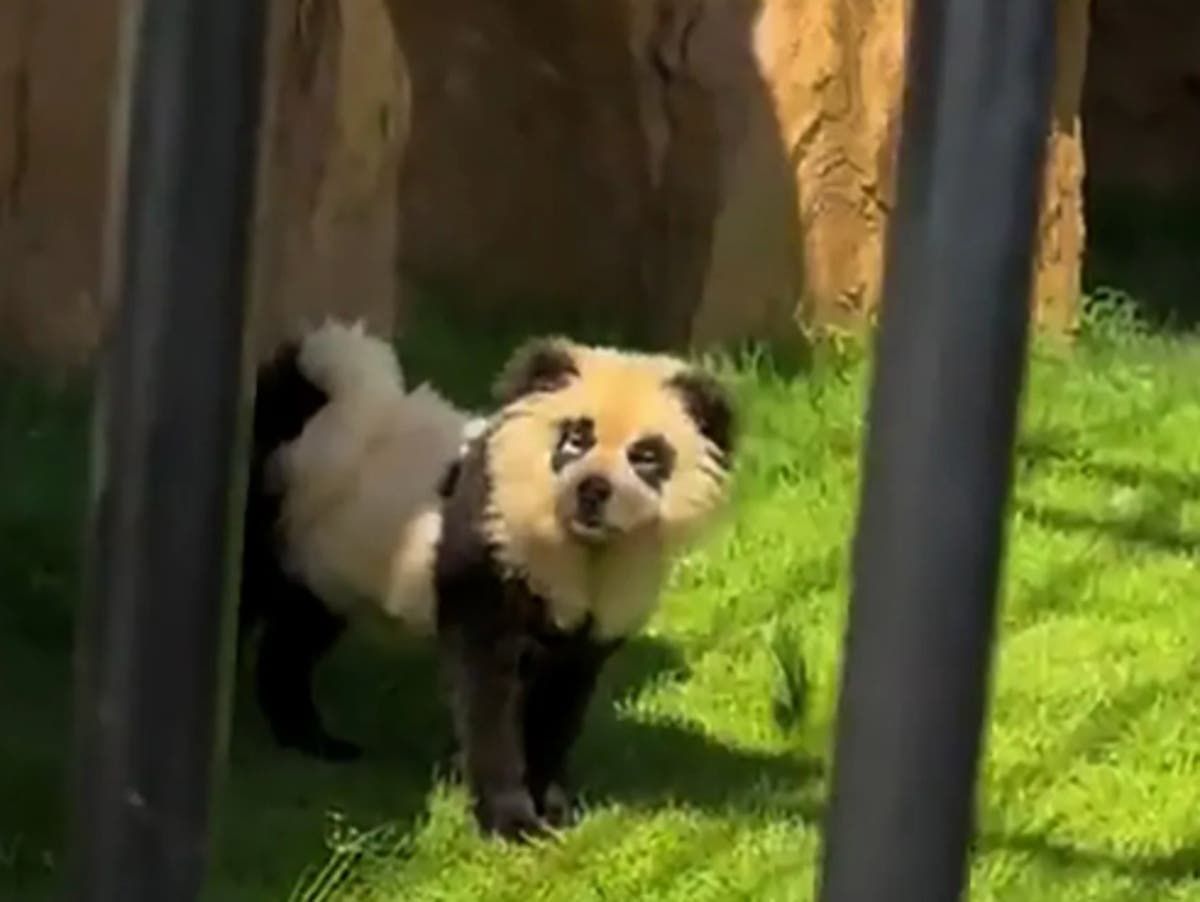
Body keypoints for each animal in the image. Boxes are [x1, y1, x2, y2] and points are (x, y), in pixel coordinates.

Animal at [239, 320, 737, 842]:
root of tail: (301, 402)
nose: (592, 491)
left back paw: (313, 740)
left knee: (292, 643)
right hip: (275, 516)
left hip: (327, 564)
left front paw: (555, 810)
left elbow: (560, 707)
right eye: (575, 439)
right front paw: (511, 823)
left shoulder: (586, 629)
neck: (578, 548)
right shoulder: (487, 563)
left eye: (646, 456)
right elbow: (488, 700)